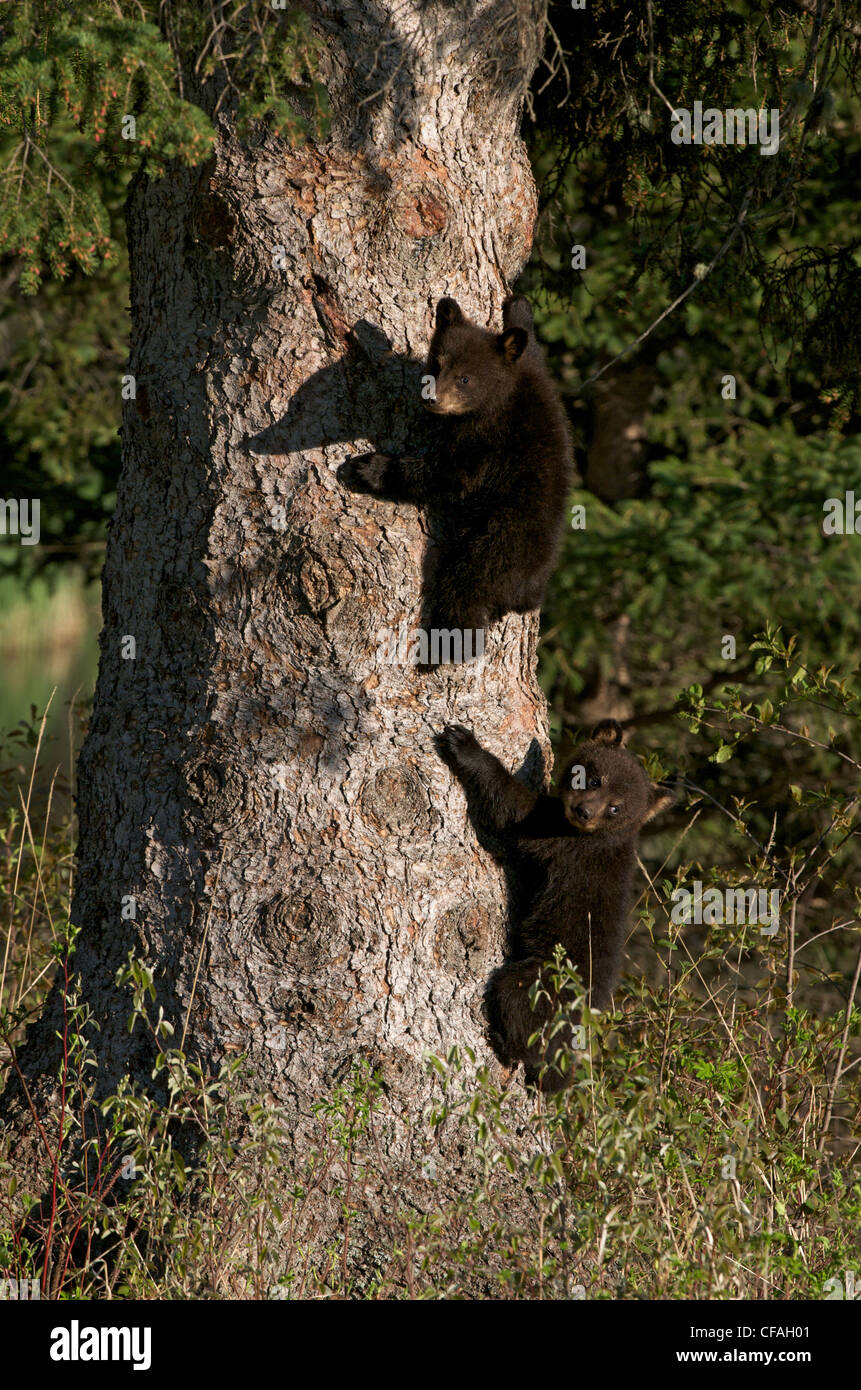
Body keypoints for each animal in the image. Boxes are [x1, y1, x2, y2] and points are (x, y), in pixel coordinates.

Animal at [341, 295, 573, 641]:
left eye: (465, 378)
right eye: (437, 364)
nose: (431, 399)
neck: (502, 395)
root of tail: (526, 594)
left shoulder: (488, 439)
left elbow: (452, 476)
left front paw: (371, 467)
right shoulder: (535, 372)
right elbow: (531, 344)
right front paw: (518, 306)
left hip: (489, 550)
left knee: (462, 598)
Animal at [436, 718, 673, 1091]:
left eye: (616, 807)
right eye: (594, 779)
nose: (584, 811)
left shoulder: (562, 841)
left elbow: (514, 809)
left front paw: (464, 744)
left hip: (544, 981)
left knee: (516, 1000)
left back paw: (508, 1045)